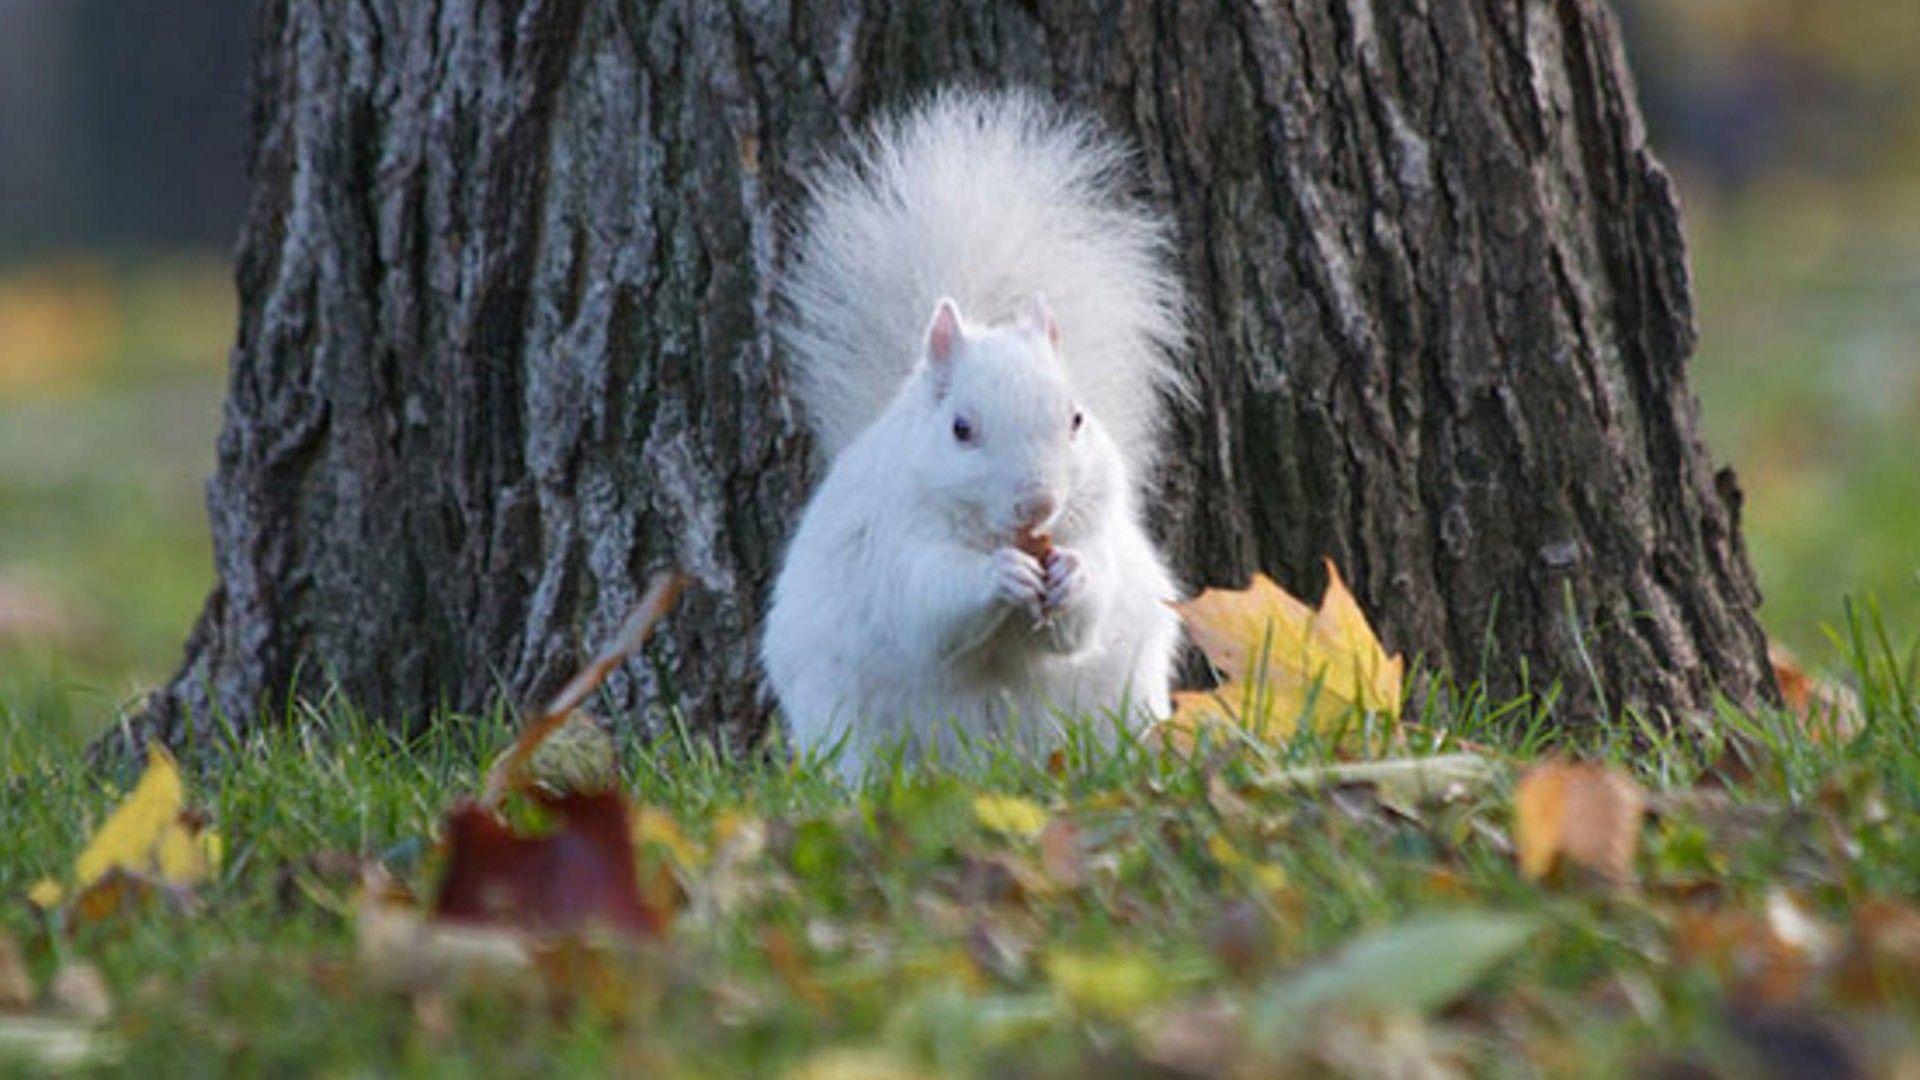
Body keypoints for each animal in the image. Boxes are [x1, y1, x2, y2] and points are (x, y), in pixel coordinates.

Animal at [761, 90, 1187, 779]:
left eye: (1077, 418)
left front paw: (1073, 575)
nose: (1039, 503)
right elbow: (928, 605)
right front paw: (998, 577)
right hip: (850, 723)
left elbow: (1081, 620)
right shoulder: (895, 540)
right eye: (961, 429)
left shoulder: (1095, 520)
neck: (994, 532)